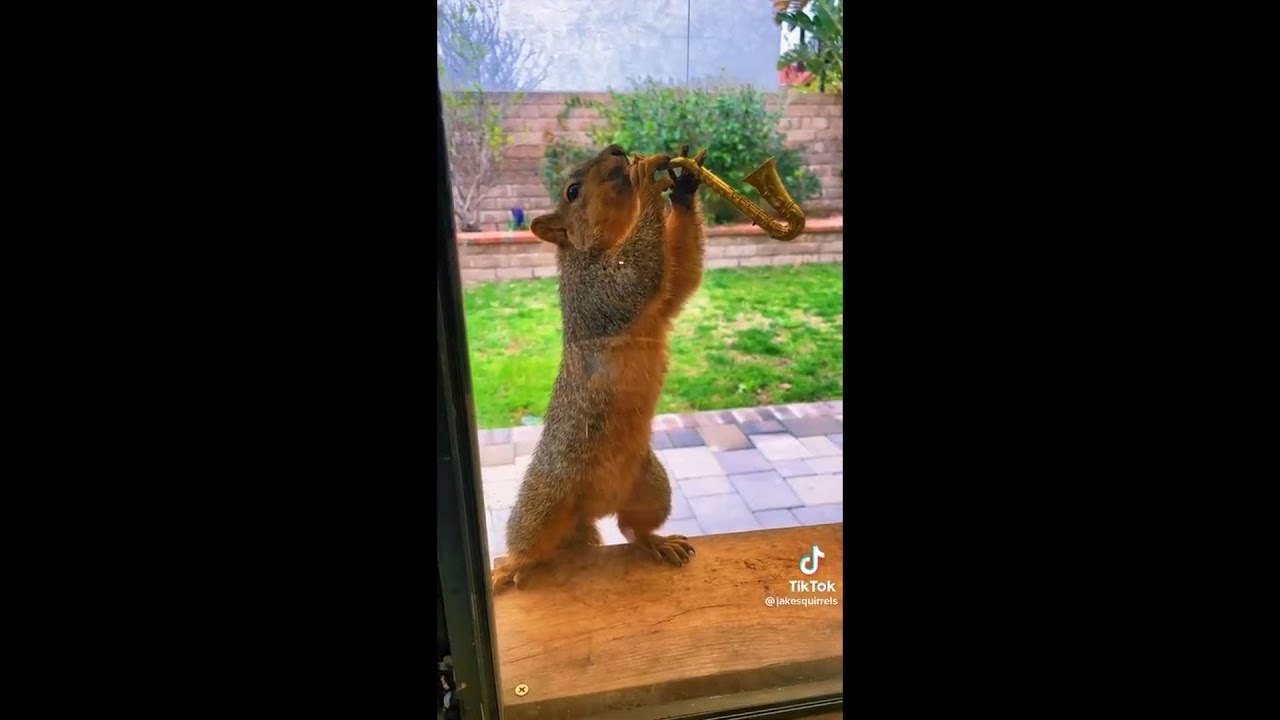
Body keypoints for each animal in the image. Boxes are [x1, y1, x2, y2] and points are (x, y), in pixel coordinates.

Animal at [492, 143, 709, 593]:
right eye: (573, 191)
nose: (618, 149)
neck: (605, 244)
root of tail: (589, 512)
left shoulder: (661, 304)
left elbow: (679, 274)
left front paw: (682, 188)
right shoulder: (594, 290)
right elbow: (634, 278)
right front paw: (646, 183)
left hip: (651, 487)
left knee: (632, 528)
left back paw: (659, 543)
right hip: (542, 502)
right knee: (531, 543)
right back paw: (513, 565)